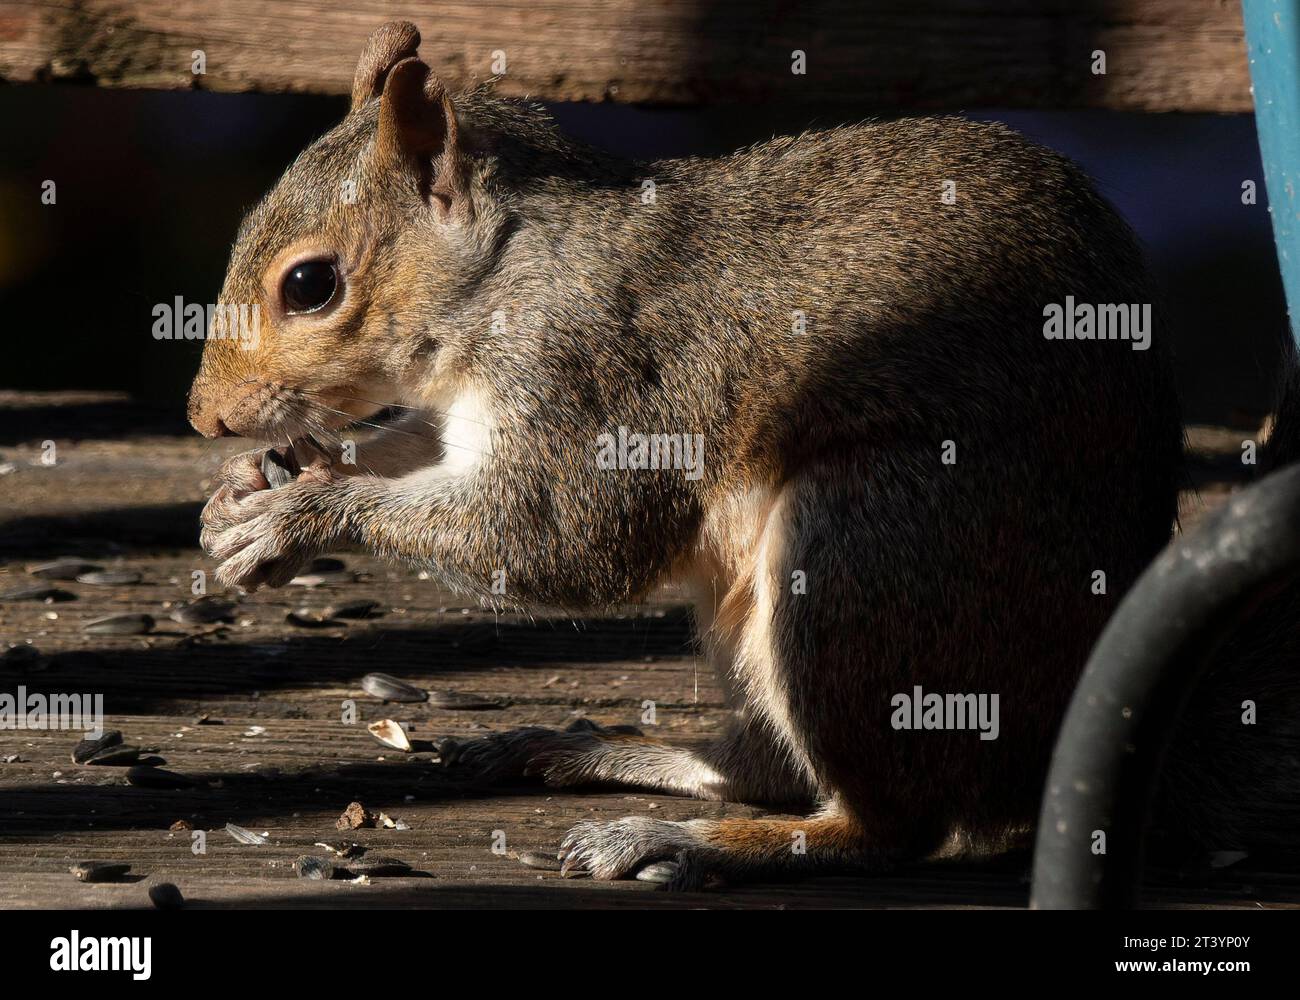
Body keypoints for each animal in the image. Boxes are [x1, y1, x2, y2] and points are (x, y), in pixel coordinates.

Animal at [187, 21, 1296, 889]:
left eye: (312, 284)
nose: (204, 419)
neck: (512, 269)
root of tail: (1057, 724)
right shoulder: (461, 413)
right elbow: (419, 452)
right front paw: (262, 483)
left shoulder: (596, 374)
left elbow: (564, 538)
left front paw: (299, 513)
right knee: (765, 768)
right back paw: (597, 751)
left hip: (865, 555)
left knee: (889, 827)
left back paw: (687, 841)